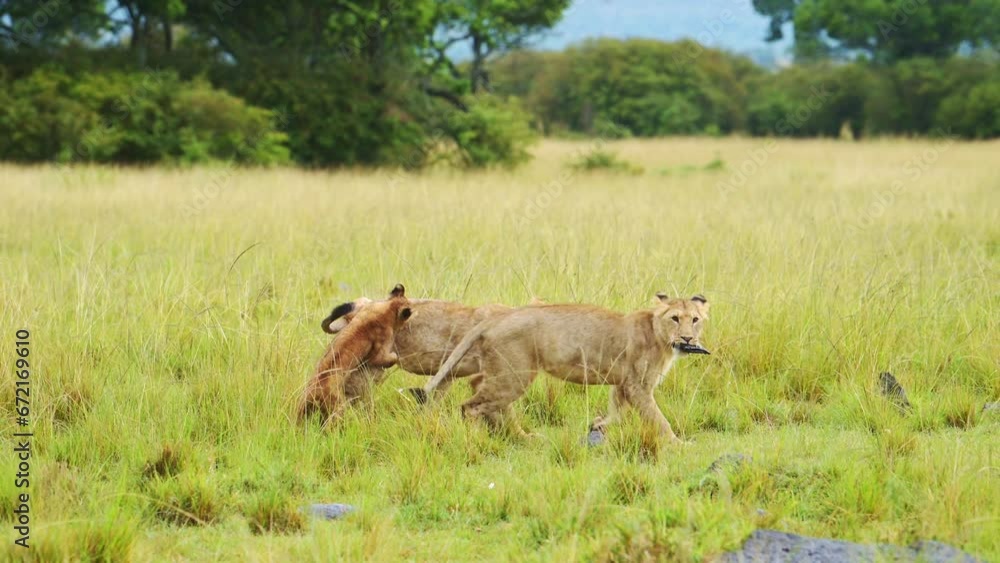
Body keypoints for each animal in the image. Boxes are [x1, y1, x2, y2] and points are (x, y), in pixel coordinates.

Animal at [298, 284, 412, 426]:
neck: (387, 308)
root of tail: (316, 391)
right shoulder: (380, 350)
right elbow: (392, 357)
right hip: (338, 408)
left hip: (302, 407)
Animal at [421, 294, 710, 442]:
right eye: (675, 318)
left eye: (695, 320)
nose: (688, 338)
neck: (660, 337)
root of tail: (500, 316)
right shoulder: (637, 386)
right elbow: (658, 419)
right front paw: (677, 444)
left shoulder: (622, 384)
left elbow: (617, 411)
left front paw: (598, 425)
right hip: (516, 375)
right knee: (469, 406)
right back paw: (476, 439)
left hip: (504, 372)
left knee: (479, 389)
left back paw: (520, 435)